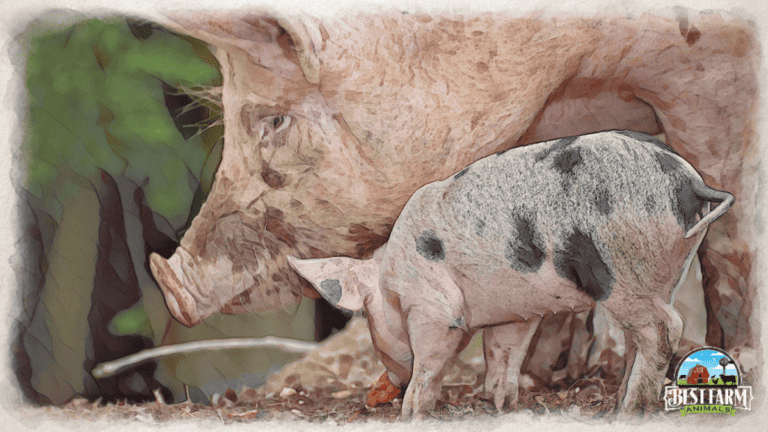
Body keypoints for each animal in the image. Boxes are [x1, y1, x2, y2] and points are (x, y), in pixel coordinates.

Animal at [287, 130, 734, 418]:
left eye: (367, 321)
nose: (386, 387)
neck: (389, 280)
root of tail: (690, 182)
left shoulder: (433, 307)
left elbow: (431, 361)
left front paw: (410, 414)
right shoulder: (514, 312)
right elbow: (503, 355)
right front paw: (501, 407)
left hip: (620, 267)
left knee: (666, 328)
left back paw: (628, 411)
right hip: (663, 271)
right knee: (642, 334)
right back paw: (619, 406)